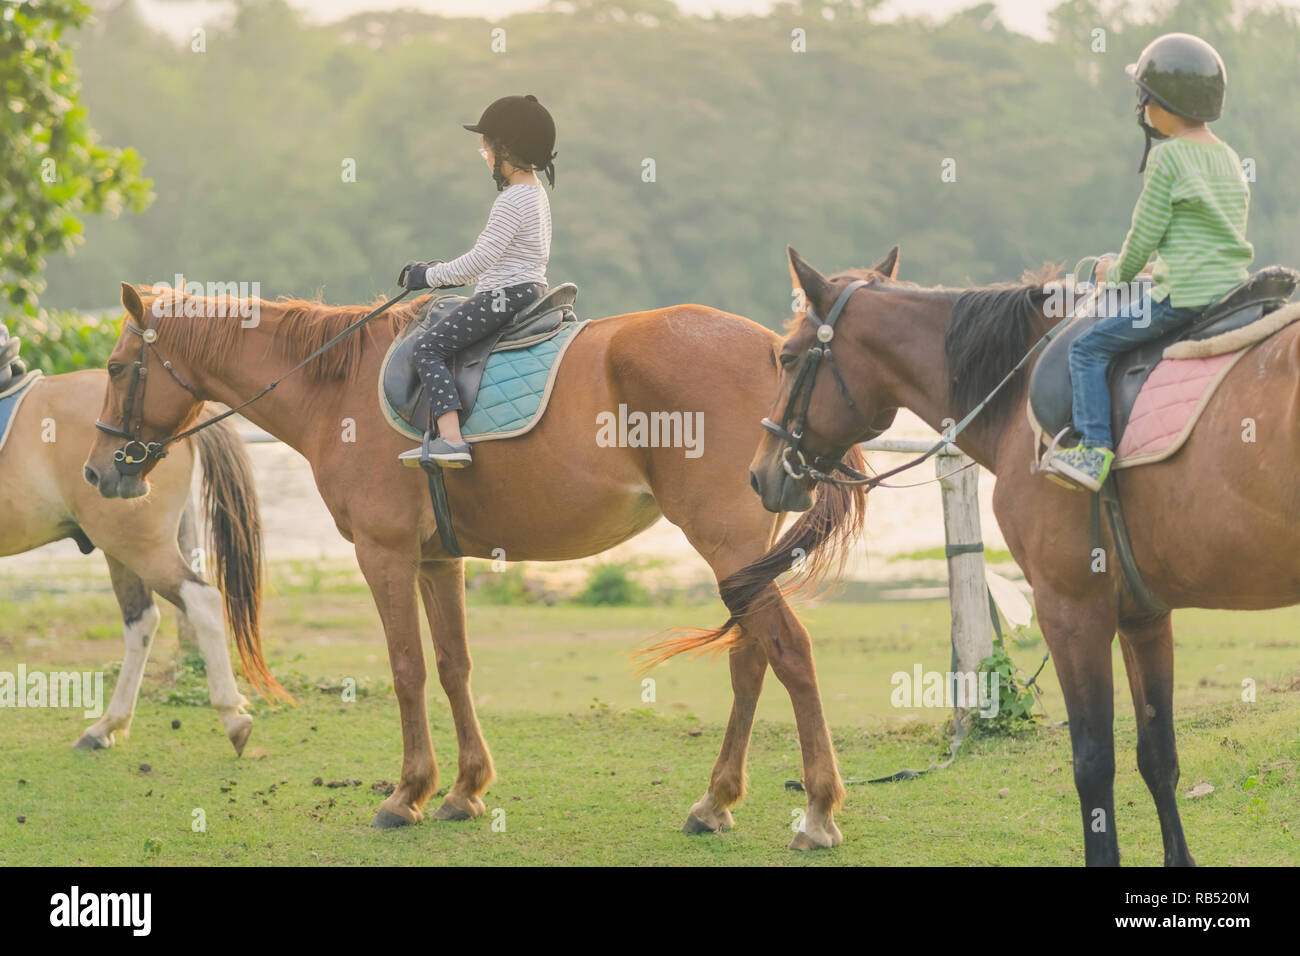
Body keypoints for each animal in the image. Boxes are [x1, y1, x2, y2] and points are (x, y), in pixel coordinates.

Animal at [1, 369, 275, 753]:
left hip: (140, 548)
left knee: (200, 600)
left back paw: (231, 715)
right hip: (121, 547)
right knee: (141, 619)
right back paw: (106, 726)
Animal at [82, 282, 866, 849]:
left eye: (117, 369)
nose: (96, 472)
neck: (337, 386)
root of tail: (774, 350)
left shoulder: (384, 554)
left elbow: (406, 668)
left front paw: (407, 794)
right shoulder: (438, 561)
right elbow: (454, 665)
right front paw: (464, 789)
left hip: (725, 544)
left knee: (789, 652)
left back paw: (818, 810)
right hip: (742, 557)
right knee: (750, 660)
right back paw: (715, 801)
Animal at [741, 245, 1300, 865]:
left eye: (788, 358)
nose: (760, 473)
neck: (1018, 397)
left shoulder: (1071, 612)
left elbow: (1093, 766)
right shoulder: (1143, 617)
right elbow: (1158, 757)